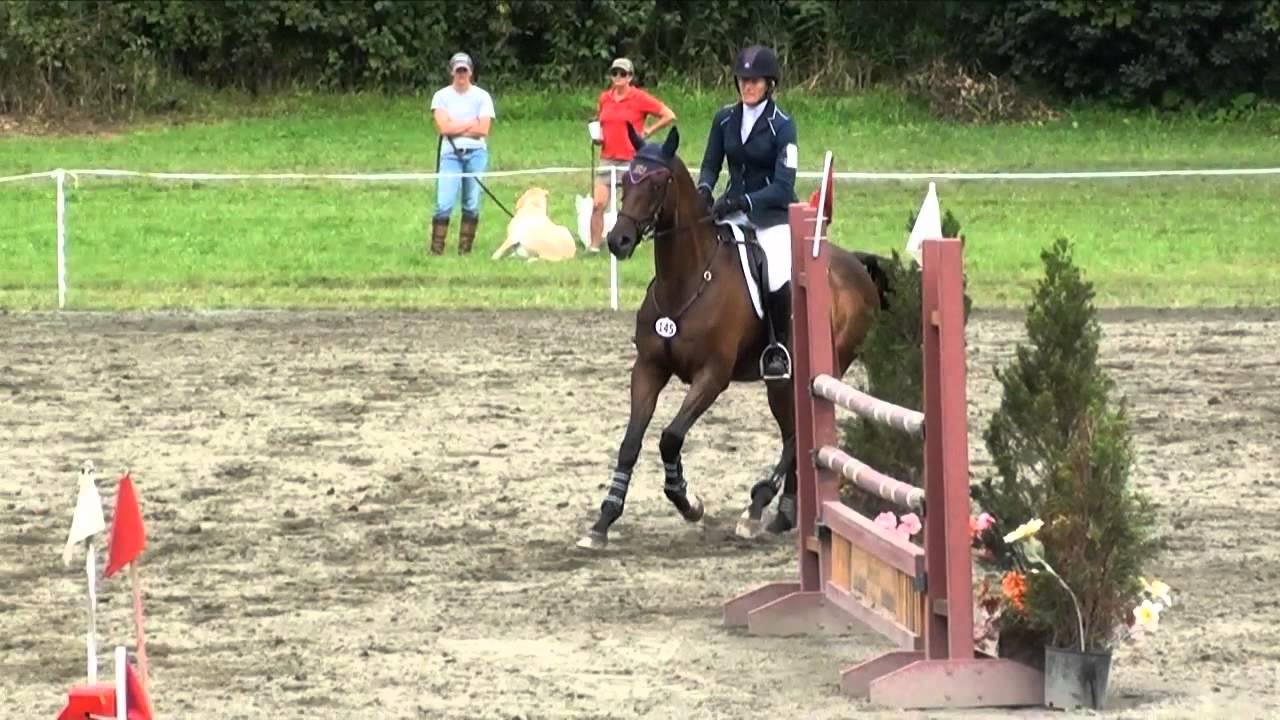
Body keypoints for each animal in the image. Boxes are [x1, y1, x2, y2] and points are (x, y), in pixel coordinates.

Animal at [576, 124, 889, 550]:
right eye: (626, 181)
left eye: (657, 184)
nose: (618, 241)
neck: (687, 280)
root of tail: (854, 264)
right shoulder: (649, 368)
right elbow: (630, 443)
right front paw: (603, 521)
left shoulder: (712, 376)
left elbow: (670, 437)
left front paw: (688, 501)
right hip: (782, 383)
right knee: (794, 432)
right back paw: (783, 515)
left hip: (822, 367)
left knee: (797, 438)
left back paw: (757, 507)